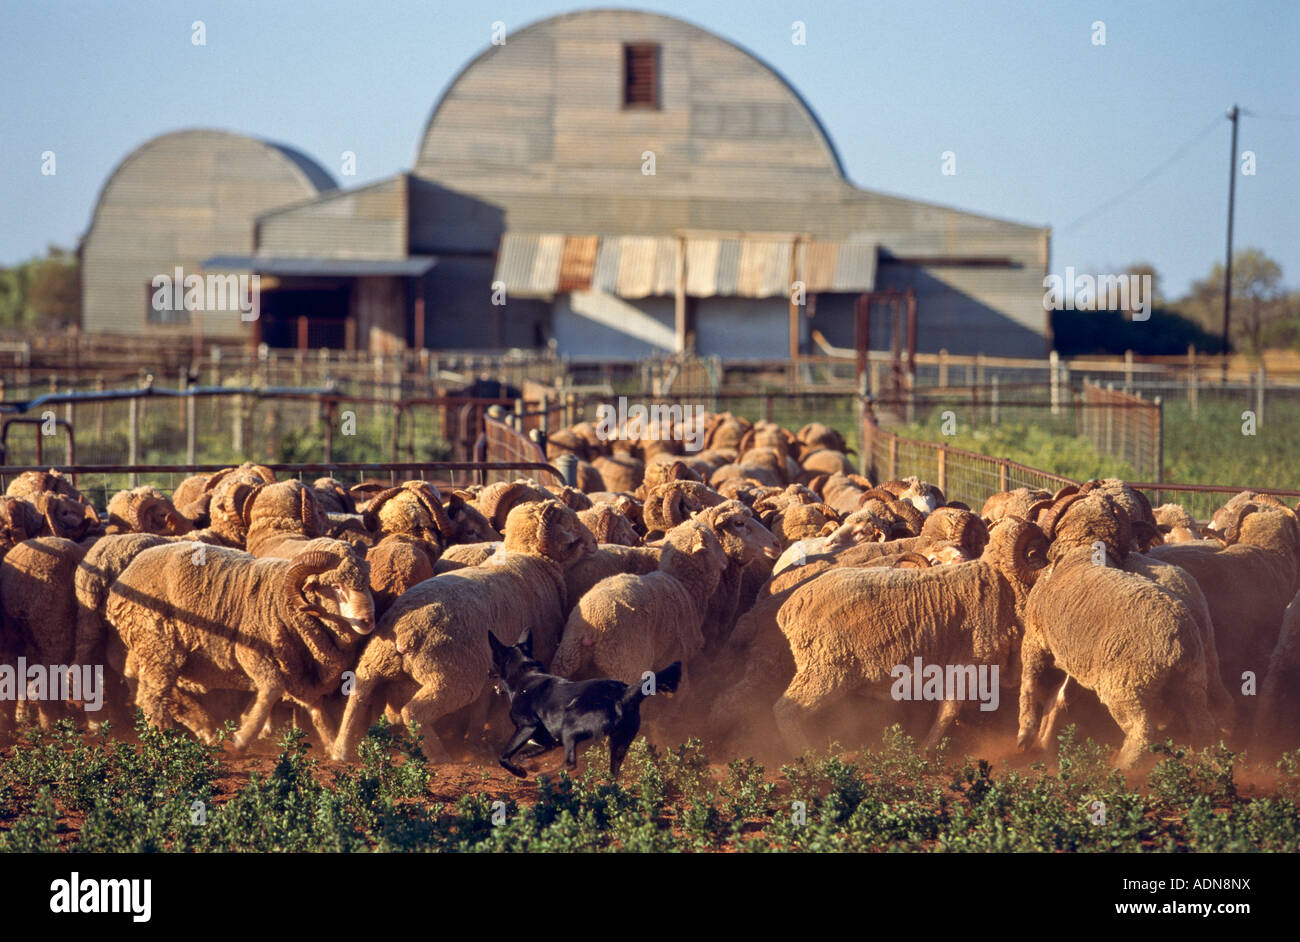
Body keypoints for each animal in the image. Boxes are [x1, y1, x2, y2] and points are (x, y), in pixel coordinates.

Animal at [106, 538, 374, 751]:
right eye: (336, 586)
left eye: (366, 582)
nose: (367, 620)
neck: (281, 601)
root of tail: (123, 579)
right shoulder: (249, 652)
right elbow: (271, 689)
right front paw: (242, 738)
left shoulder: (297, 669)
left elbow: (313, 705)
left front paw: (331, 745)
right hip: (159, 644)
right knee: (152, 695)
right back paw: (162, 739)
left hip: (147, 644)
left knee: (139, 681)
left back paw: (203, 727)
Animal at [331, 499, 596, 761]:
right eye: (569, 524)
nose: (594, 542)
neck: (530, 556)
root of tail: (404, 632)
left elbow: (480, 709)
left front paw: (475, 741)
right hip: (453, 679)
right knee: (413, 712)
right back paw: (438, 756)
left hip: (374, 663)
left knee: (357, 698)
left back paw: (342, 752)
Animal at [771, 517, 1049, 754]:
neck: (1002, 583)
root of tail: (790, 608)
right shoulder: (970, 661)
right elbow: (948, 709)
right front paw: (926, 749)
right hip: (824, 670)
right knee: (785, 711)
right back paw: (806, 756)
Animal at [1016, 544, 1219, 768]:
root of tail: (1176, 640)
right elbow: (1059, 695)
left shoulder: (1034, 638)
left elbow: (1029, 683)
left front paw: (1025, 734)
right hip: (1192, 680)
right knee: (1203, 725)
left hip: (1124, 689)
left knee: (1141, 731)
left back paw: (1121, 767)